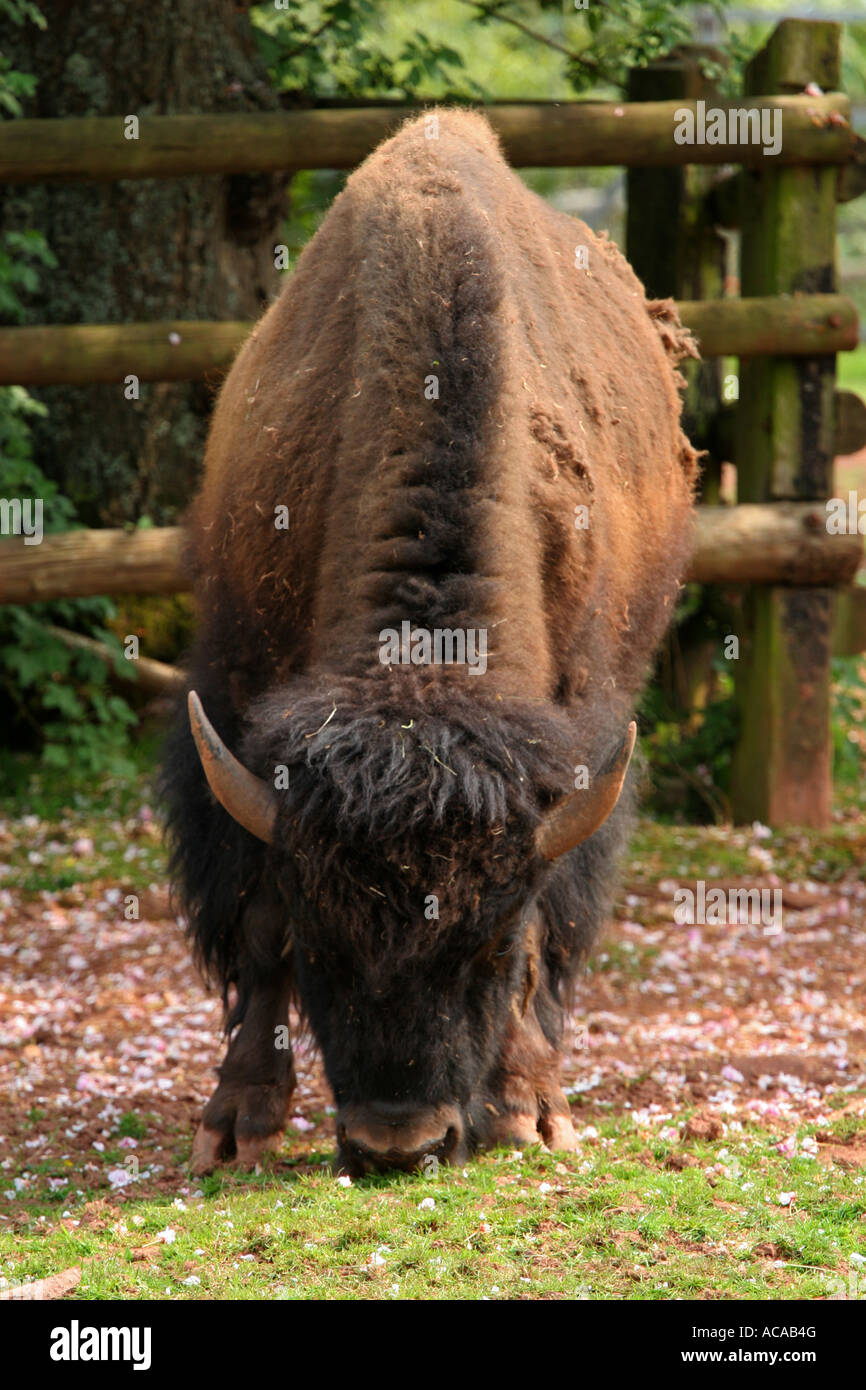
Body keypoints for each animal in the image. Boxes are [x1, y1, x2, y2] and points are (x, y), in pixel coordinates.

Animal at [161, 109, 698, 1176]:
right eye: (325, 946)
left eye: (484, 948)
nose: (395, 1142)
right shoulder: (237, 712)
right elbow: (252, 917)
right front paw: (236, 1123)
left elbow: (552, 927)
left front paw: (527, 1109)